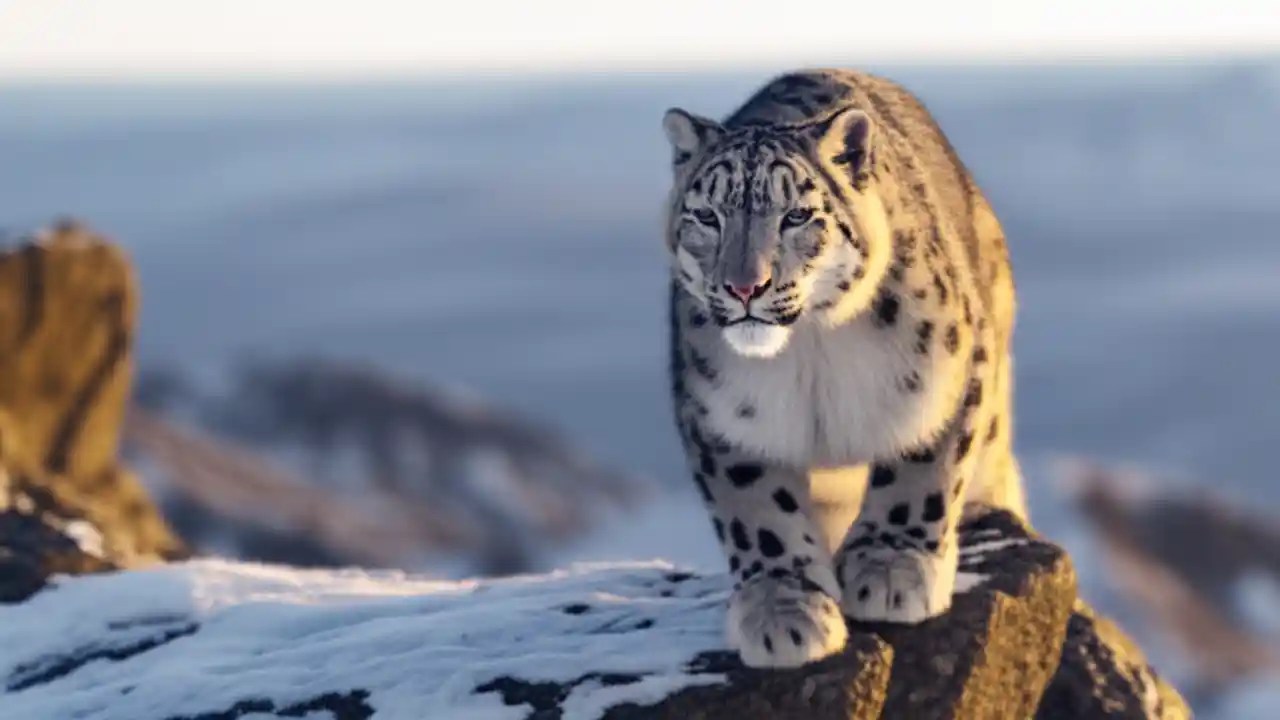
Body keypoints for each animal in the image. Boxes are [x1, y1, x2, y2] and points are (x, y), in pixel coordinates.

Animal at [662, 68, 1026, 668]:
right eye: (707, 216)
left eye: (796, 216)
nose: (744, 287)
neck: (810, 355)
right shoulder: (721, 419)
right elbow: (756, 512)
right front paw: (784, 612)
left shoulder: (949, 377)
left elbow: (923, 467)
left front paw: (891, 569)